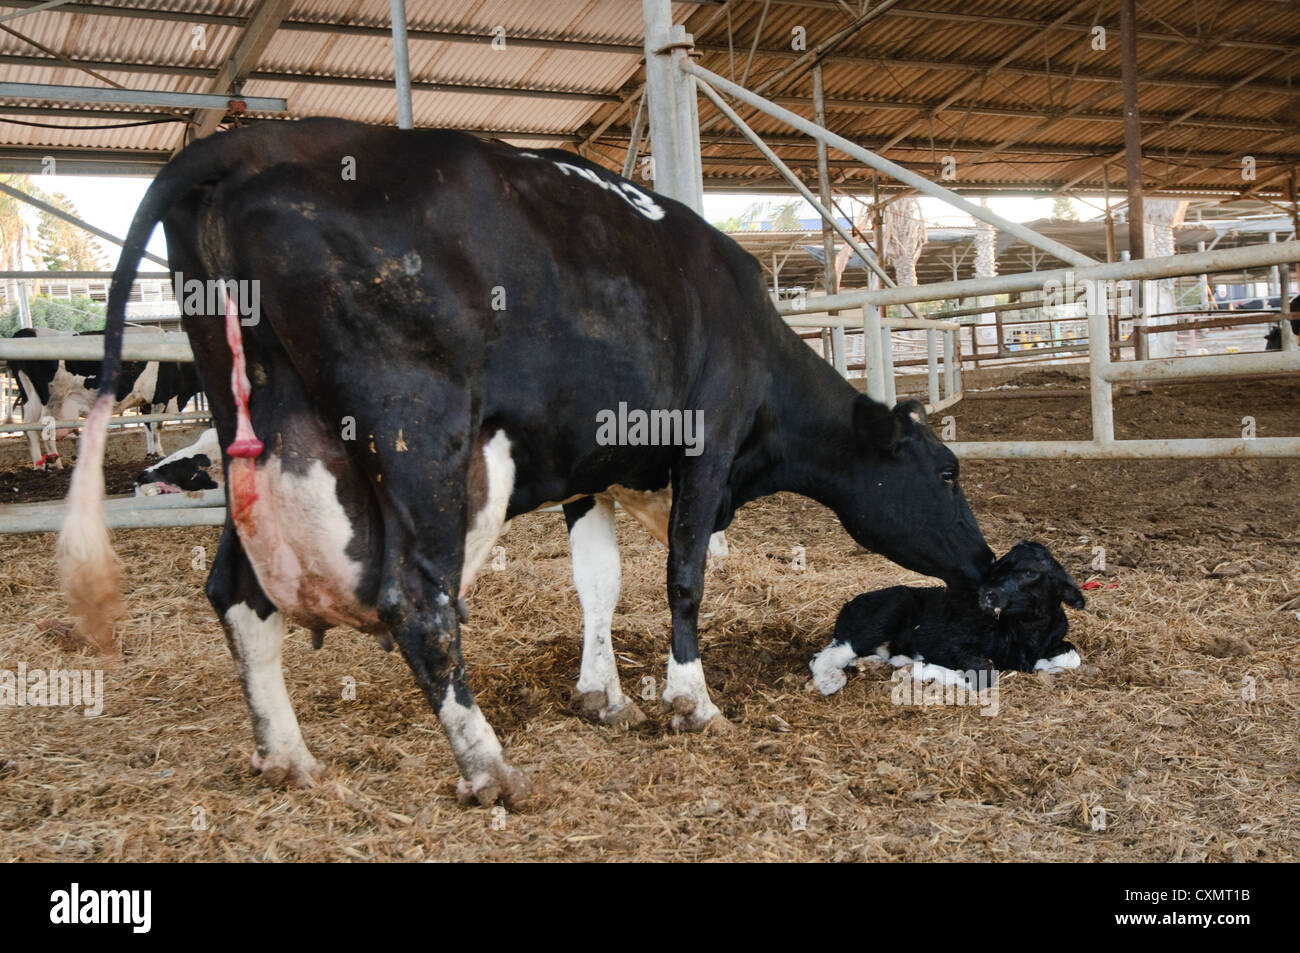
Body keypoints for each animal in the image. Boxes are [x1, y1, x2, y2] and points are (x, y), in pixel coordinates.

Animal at [8, 327, 201, 468]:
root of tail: (29, 332)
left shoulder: (145, 401)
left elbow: (147, 426)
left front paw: (150, 454)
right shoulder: (160, 396)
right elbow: (156, 425)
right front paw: (160, 454)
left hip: (30, 398)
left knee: (29, 428)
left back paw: (39, 465)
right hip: (54, 401)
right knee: (46, 428)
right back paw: (57, 464)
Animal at [60, 119, 992, 808]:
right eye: (948, 474)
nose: (985, 566)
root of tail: (255, 138)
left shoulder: (594, 469)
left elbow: (597, 583)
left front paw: (603, 694)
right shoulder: (707, 444)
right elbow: (683, 575)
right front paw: (690, 698)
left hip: (261, 433)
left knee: (236, 591)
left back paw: (288, 757)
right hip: (417, 429)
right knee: (420, 601)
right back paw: (489, 766)